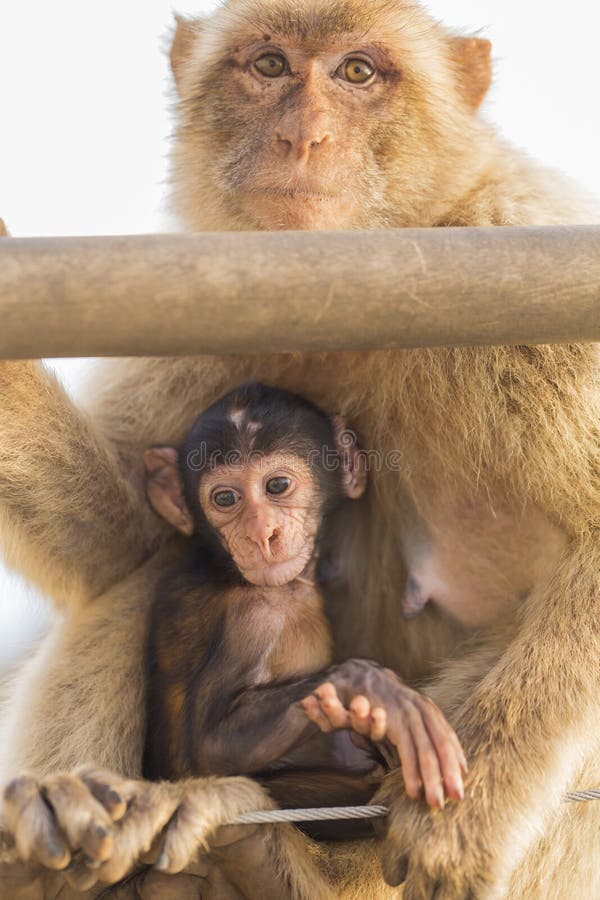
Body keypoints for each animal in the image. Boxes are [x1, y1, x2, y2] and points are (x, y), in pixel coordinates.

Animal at [142, 382, 467, 832]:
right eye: (225, 498)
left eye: (277, 486)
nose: (261, 533)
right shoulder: (255, 618)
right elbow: (208, 752)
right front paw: (376, 690)